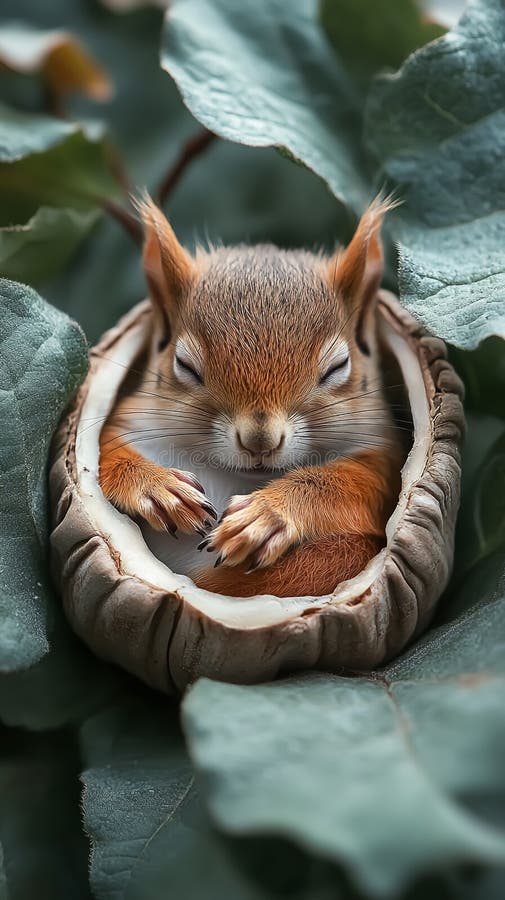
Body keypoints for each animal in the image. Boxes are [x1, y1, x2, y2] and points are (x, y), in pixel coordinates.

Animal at [99, 194, 405, 598]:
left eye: (337, 368)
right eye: (185, 366)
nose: (260, 442)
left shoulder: (381, 454)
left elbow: (352, 486)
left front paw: (267, 514)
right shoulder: (133, 421)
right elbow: (106, 452)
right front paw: (159, 488)